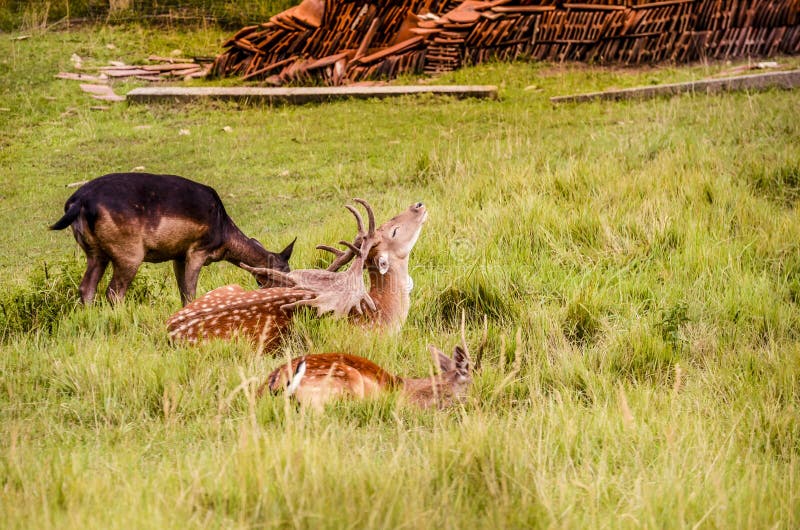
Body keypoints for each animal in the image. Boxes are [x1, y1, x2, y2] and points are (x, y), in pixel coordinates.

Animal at [50, 172, 295, 306]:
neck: (223, 236)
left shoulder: (178, 255)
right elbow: (191, 292)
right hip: (129, 251)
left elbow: (182, 291)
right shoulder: (198, 249)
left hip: (94, 251)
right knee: (114, 292)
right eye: (285, 272)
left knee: (86, 287)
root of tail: (78, 202)